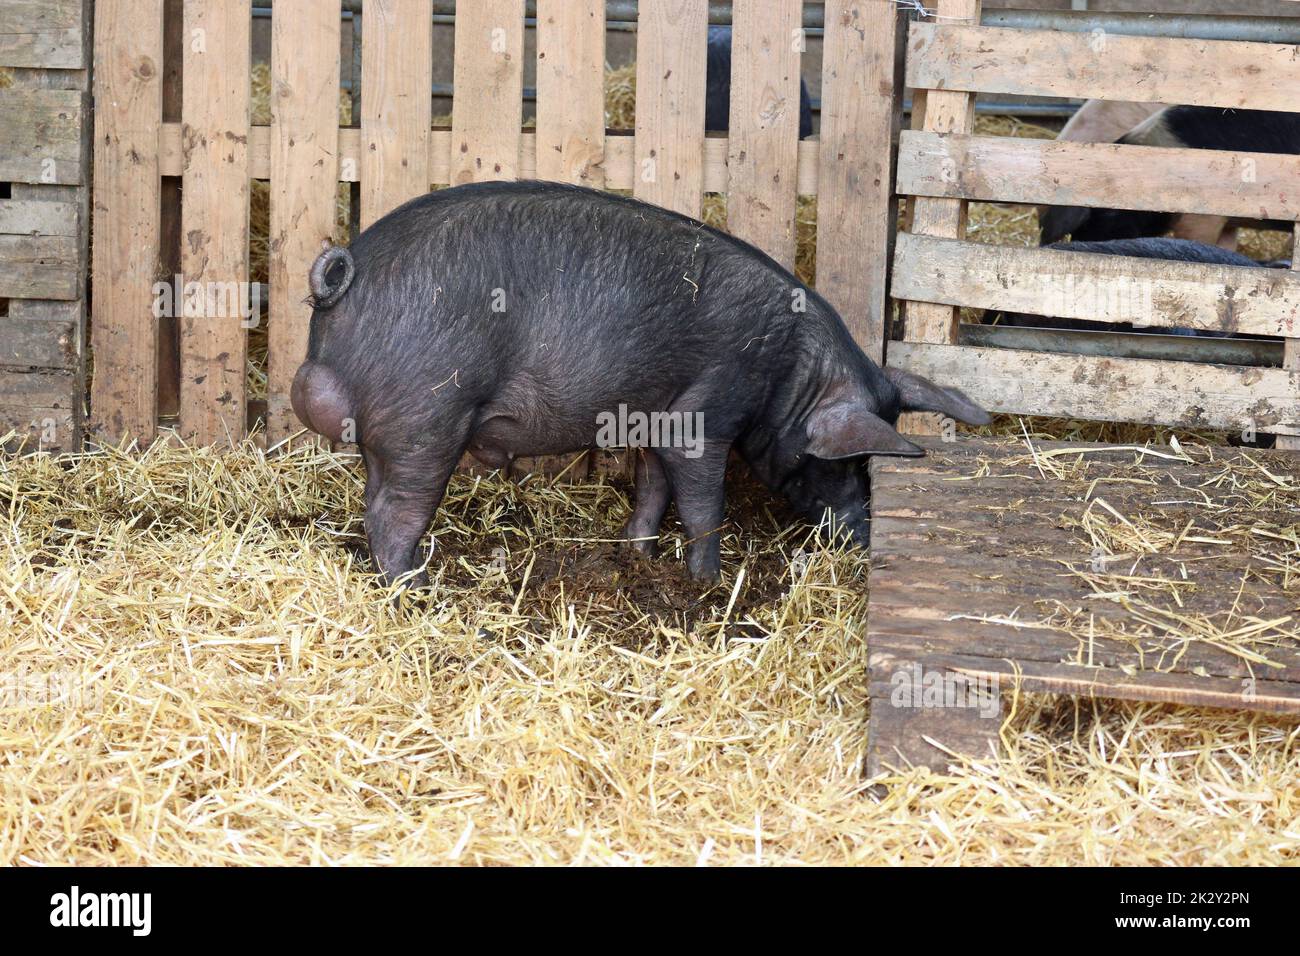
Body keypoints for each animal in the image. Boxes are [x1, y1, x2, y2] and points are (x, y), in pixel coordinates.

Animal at [292, 181, 990, 586]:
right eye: (846, 462)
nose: (865, 535)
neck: (792, 380)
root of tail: (344, 279)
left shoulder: (659, 413)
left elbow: (654, 489)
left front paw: (640, 556)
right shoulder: (703, 413)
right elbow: (704, 502)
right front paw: (707, 585)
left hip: (395, 432)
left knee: (373, 500)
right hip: (428, 417)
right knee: (394, 512)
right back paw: (415, 587)